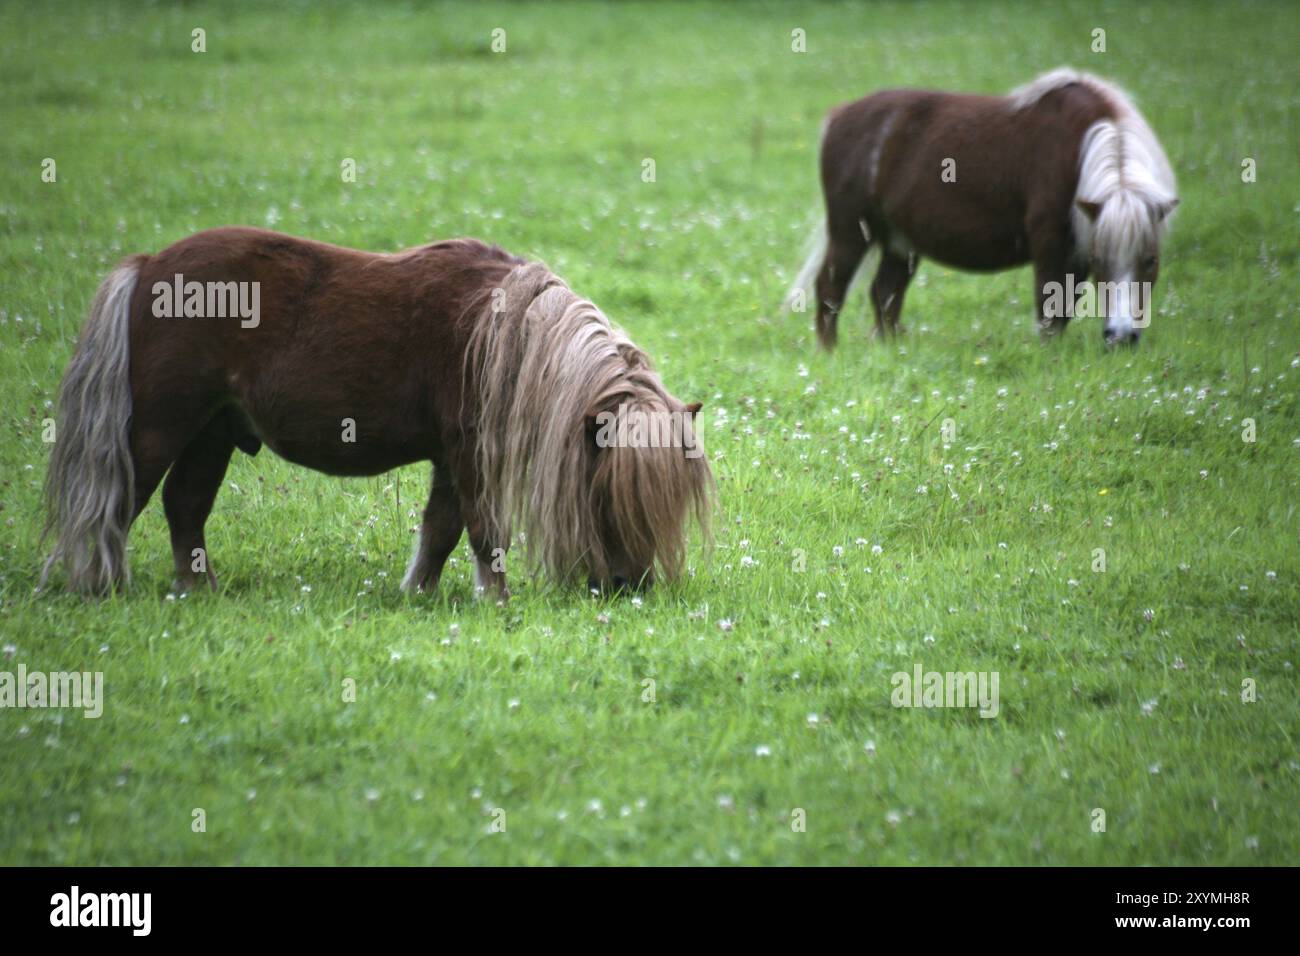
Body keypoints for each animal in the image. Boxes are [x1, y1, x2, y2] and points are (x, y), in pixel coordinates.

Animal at [41, 227, 712, 599]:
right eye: (608, 497)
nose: (627, 588)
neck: (502, 332)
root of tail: (149, 265)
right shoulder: (470, 453)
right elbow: (484, 532)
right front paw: (497, 602)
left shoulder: (450, 458)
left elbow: (441, 531)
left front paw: (419, 594)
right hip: (162, 428)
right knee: (118, 504)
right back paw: (100, 586)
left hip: (213, 432)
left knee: (185, 508)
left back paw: (196, 591)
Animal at [790, 68, 1178, 349]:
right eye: (1100, 260)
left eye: (1150, 260)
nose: (1121, 337)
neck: (1078, 149)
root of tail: (840, 115)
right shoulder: (1052, 241)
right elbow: (1051, 306)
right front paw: (1049, 355)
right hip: (850, 230)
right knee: (830, 289)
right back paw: (829, 351)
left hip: (901, 241)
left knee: (885, 293)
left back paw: (891, 349)